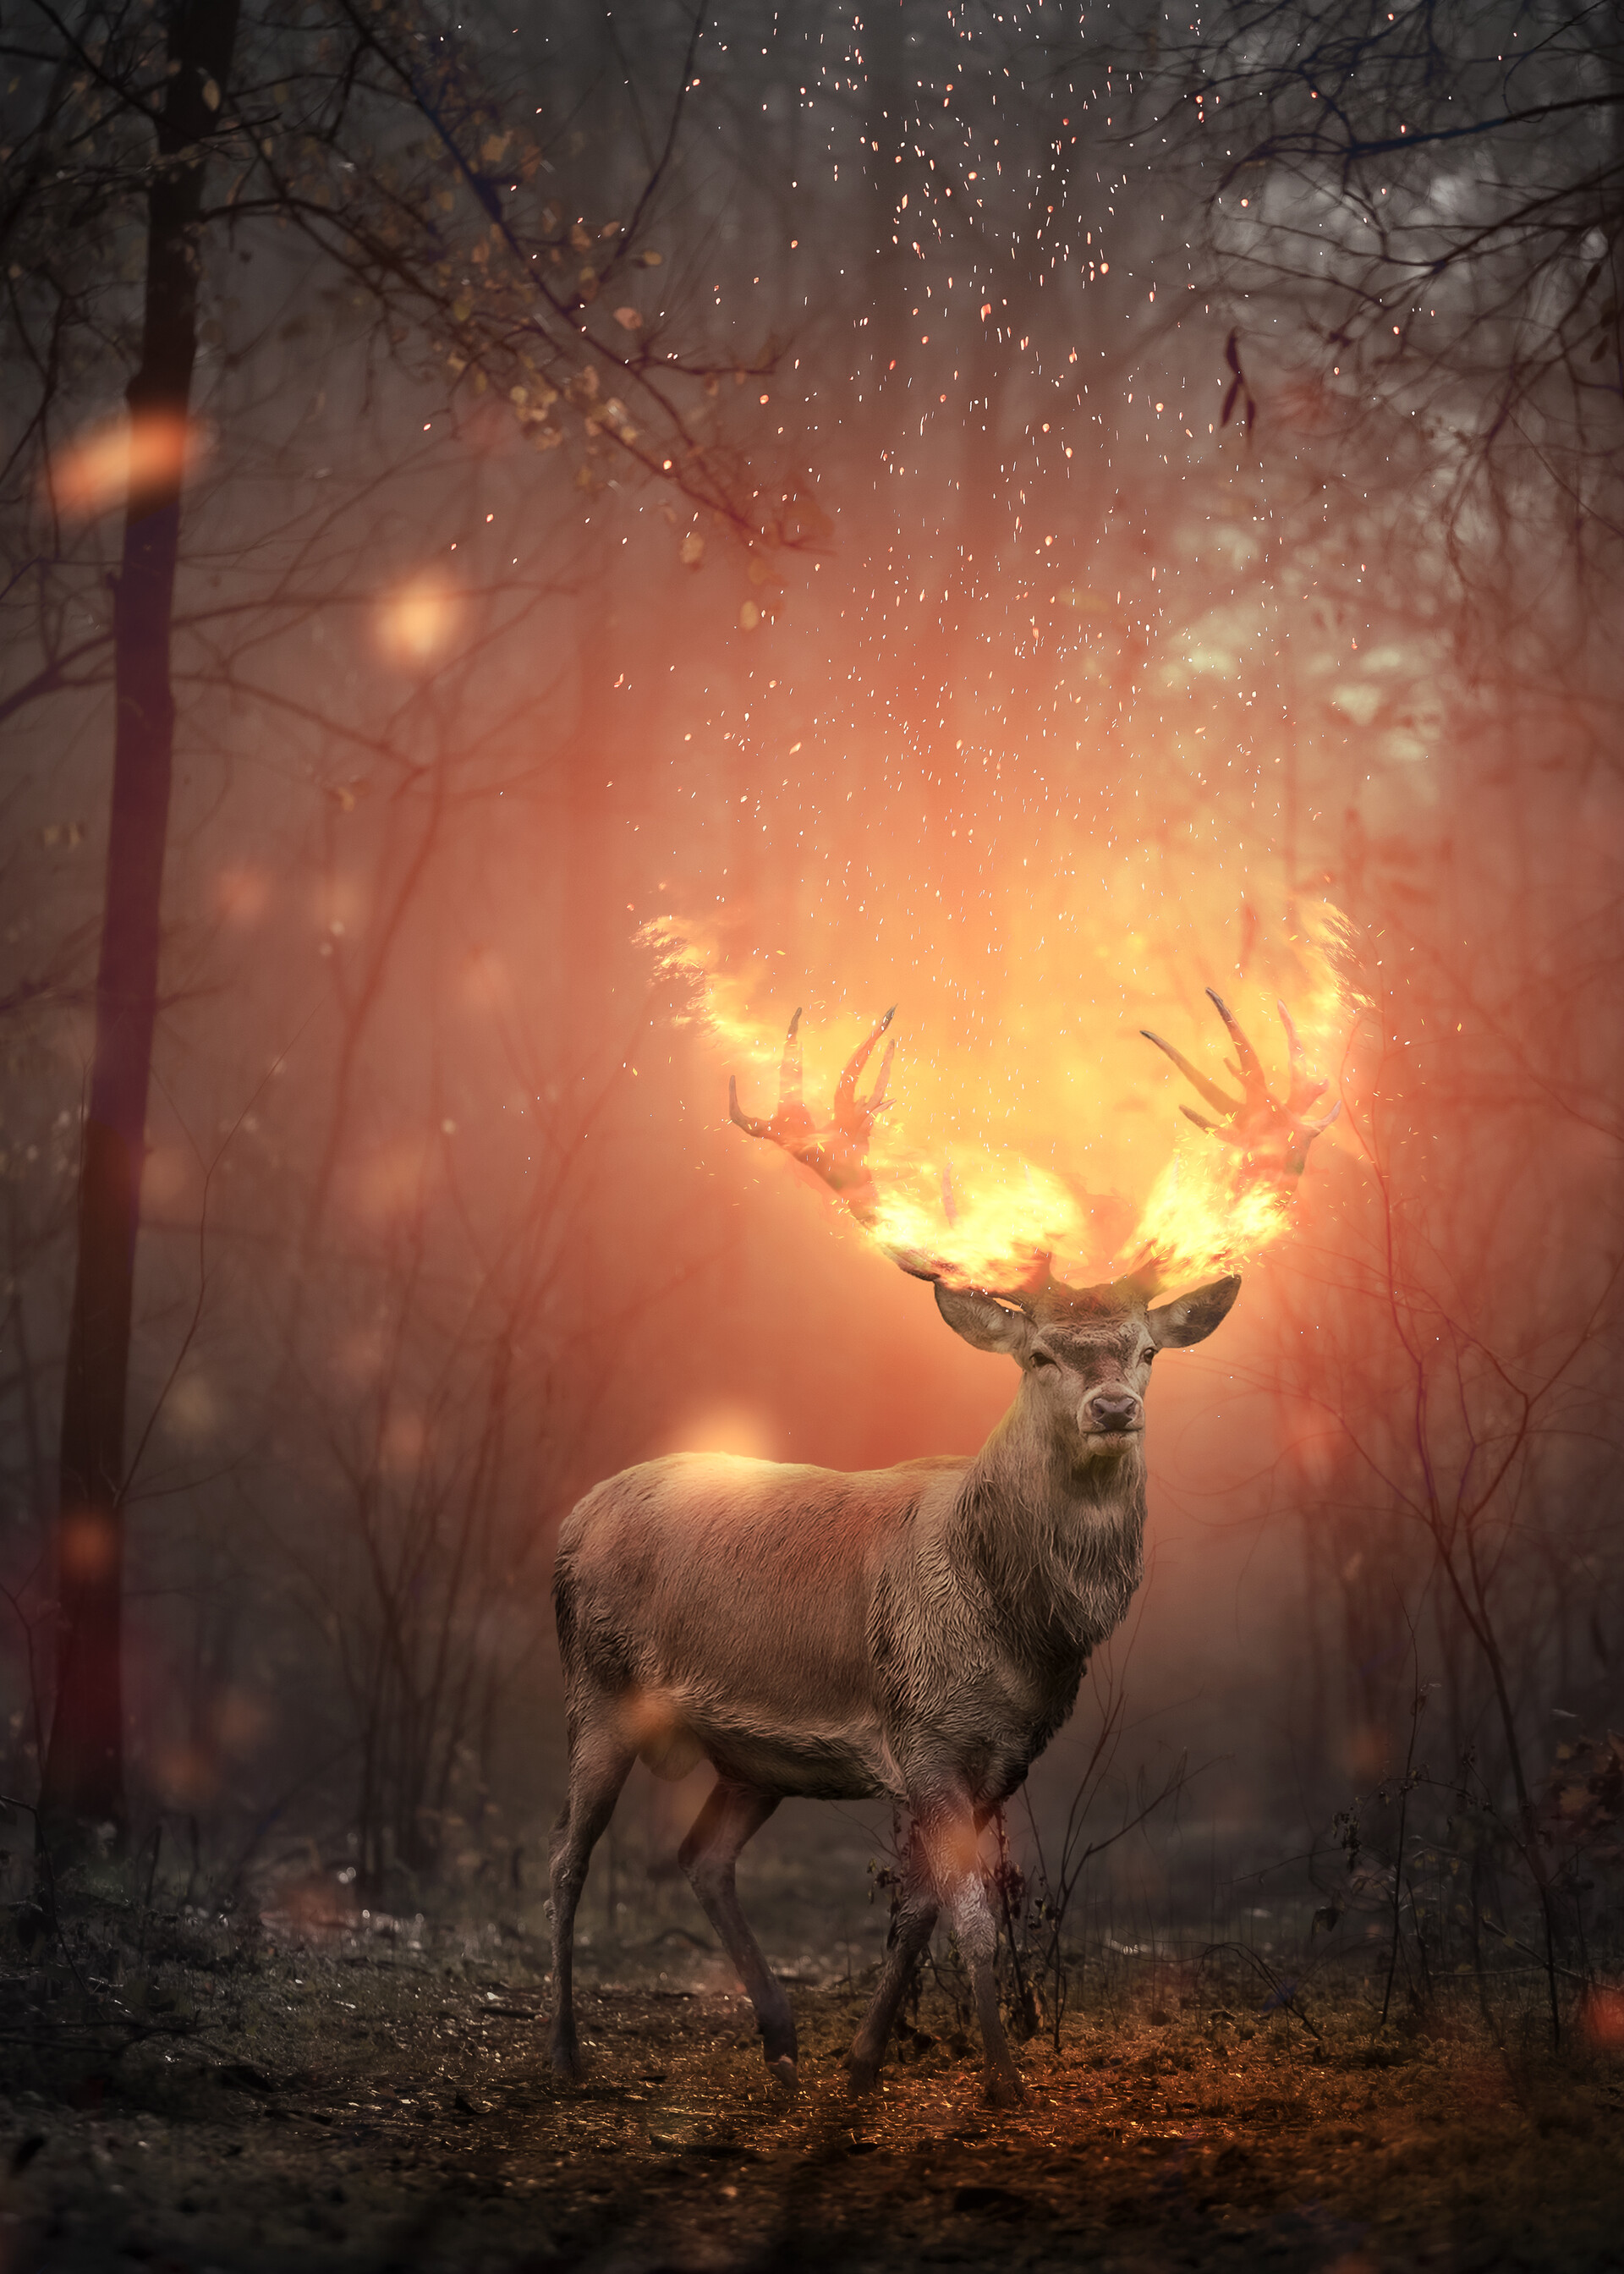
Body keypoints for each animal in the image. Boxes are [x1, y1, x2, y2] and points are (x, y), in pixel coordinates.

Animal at [549, 991, 1337, 2107]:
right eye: (1041, 1353)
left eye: (1147, 1350)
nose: (1113, 1406)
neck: (1014, 1628)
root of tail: (571, 1520)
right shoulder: (922, 1732)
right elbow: (966, 1908)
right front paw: (1003, 2082)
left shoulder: (1001, 1754)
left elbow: (925, 1903)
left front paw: (864, 2061)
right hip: (598, 1688)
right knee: (567, 1858)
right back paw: (568, 2051)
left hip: (752, 1759)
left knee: (702, 1856)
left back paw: (782, 2042)